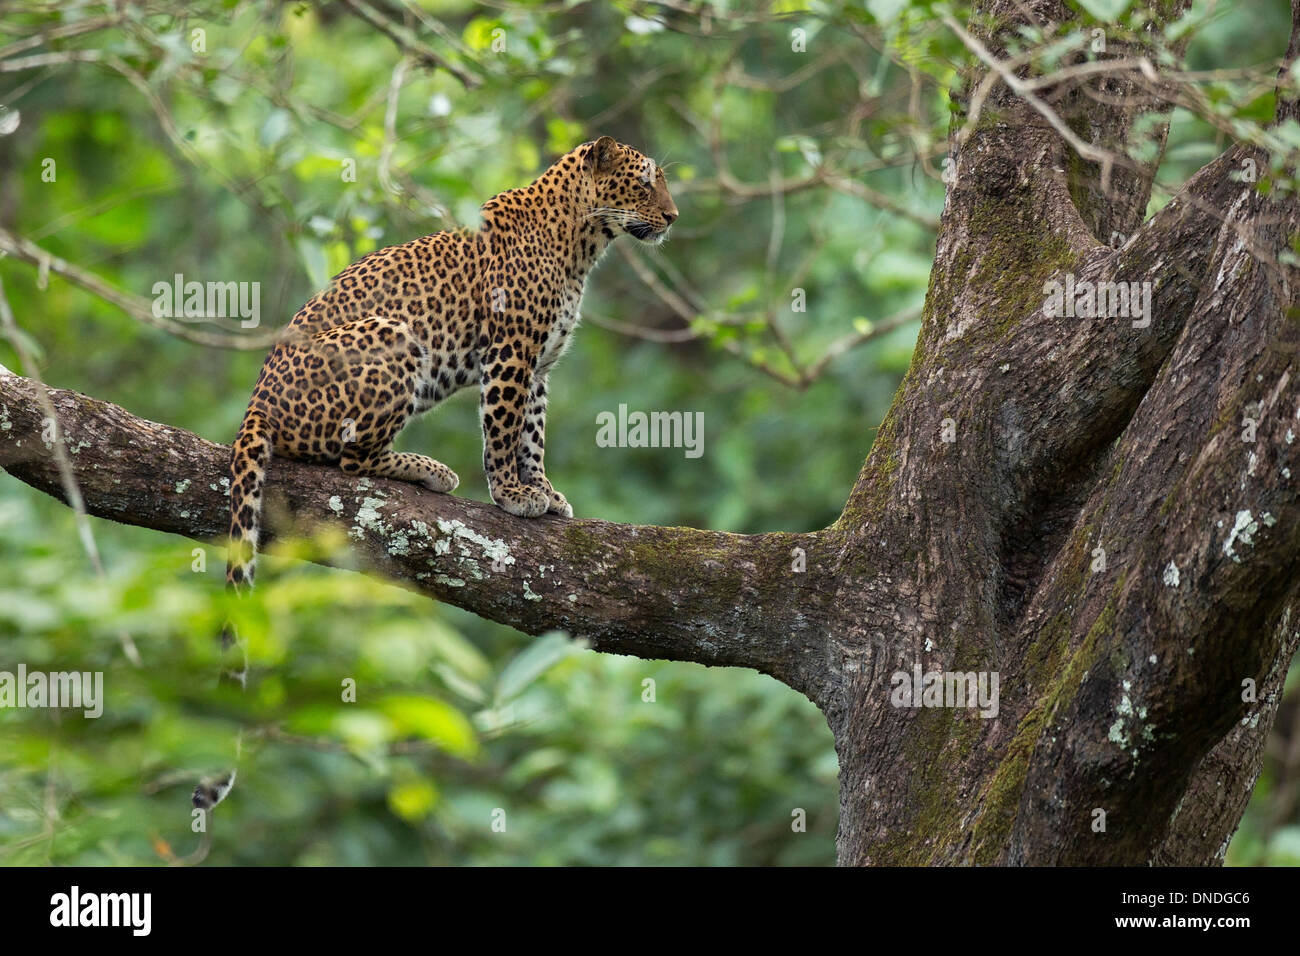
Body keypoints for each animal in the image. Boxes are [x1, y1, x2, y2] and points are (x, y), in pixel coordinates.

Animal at [224, 136, 678, 593]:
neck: (581, 242)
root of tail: (257, 403)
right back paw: (430, 469)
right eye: (643, 184)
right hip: (393, 334)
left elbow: (532, 435)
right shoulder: (510, 351)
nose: (673, 217)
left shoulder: (538, 367)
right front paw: (511, 494)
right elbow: (504, 430)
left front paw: (544, 490)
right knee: (355, 458)